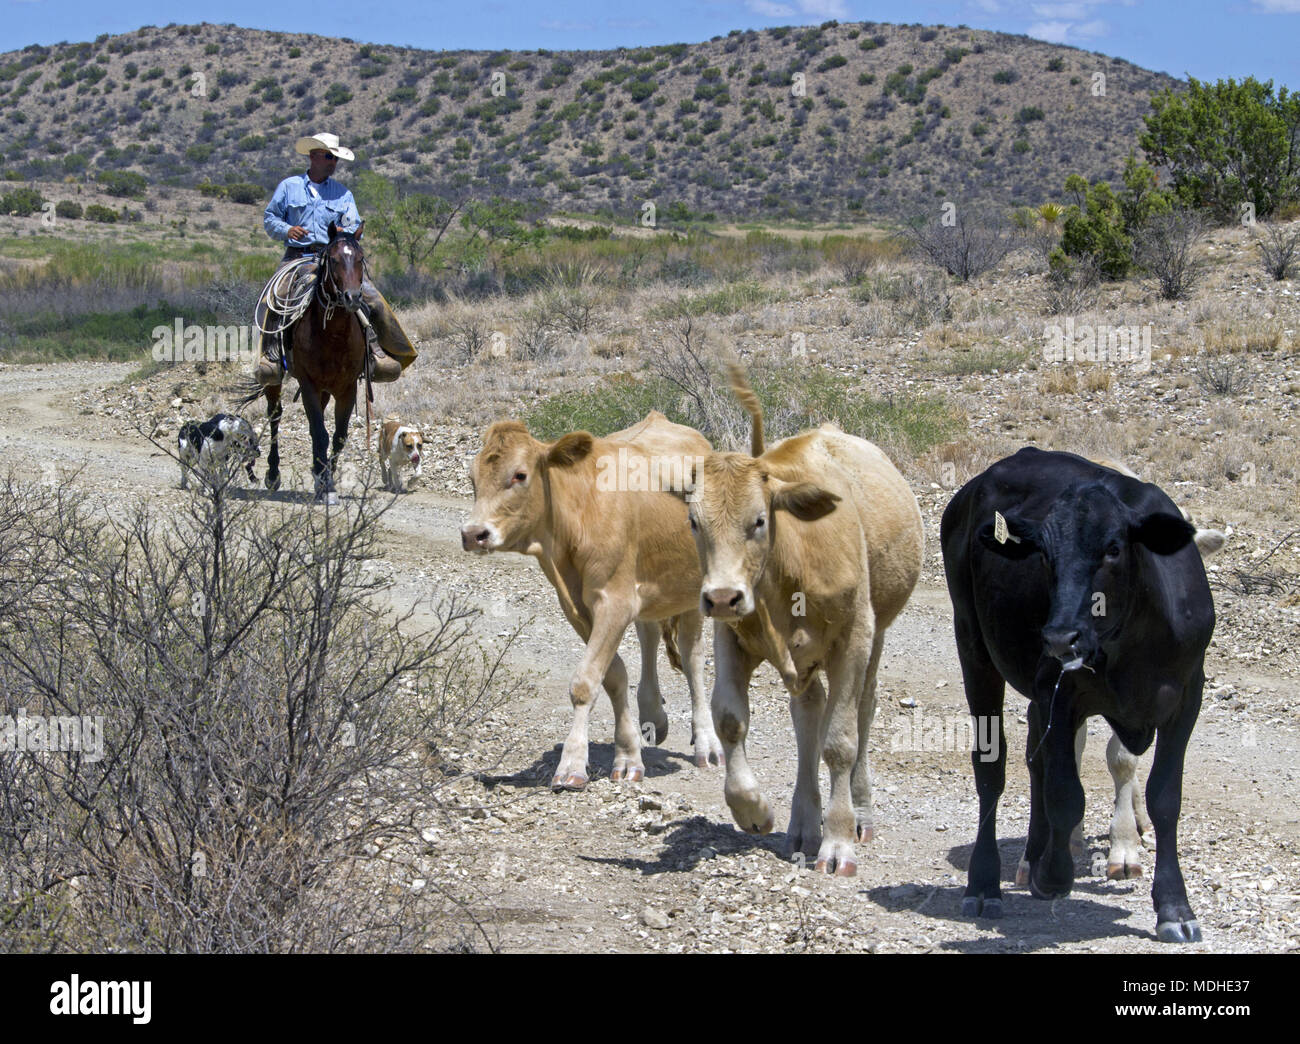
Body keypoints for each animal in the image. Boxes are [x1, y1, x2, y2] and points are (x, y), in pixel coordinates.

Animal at [460, 412, 724, 790]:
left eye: (520, 474)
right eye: (472, 478)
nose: (473, 534)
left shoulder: (614, 602)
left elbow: (585, 682)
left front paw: (572, 763)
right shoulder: (578, 608)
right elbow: (612, 677)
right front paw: (628, 754)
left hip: (690, 588)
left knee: (692, 657)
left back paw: (707, 744)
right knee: (649, 635)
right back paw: (653, 715)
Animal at [676, 365, 924, 875]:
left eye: (758, 520)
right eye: (694, 521)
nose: (723, 596)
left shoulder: (855, 638)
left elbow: (841, 741)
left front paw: (839, 843)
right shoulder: (730, 635)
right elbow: (730, 719)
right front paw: (753, 810)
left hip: (876, 635)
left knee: (862, 710)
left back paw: (859, 815)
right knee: (809, 709)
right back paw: (803, 824)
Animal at [940, 447, 1214, 942]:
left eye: (1113, 548)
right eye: (1045, 556)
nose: (1059, 636)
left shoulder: (1187, 697)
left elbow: (1165, 798)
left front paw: (1174, 906)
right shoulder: (1059, 692)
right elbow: (1066, 793)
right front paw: (1054, 874)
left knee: (1035, 757)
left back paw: (1032, 854)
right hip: (972, 644)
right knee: (993, 769)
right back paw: (986, 884)